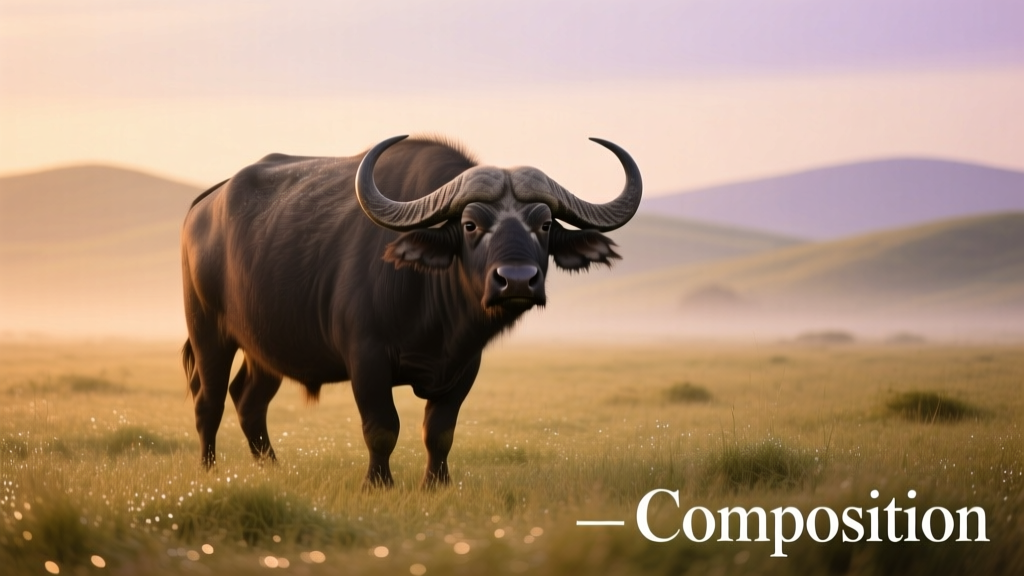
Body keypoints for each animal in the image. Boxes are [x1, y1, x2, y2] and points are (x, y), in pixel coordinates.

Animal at [180, 135, 641, 487]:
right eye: (471, 225)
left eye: (544, 225)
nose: (516, 281)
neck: (435, 315)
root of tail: (203, 204)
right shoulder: (366, 359)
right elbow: (382, 427)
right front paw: (378, 483)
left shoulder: (465, 365)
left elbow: (439, 431)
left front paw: (436, 484)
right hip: (208, 331)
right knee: (209, 401)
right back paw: (208, 470)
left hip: (266, 347)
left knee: (248, 400)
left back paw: (272, 467)